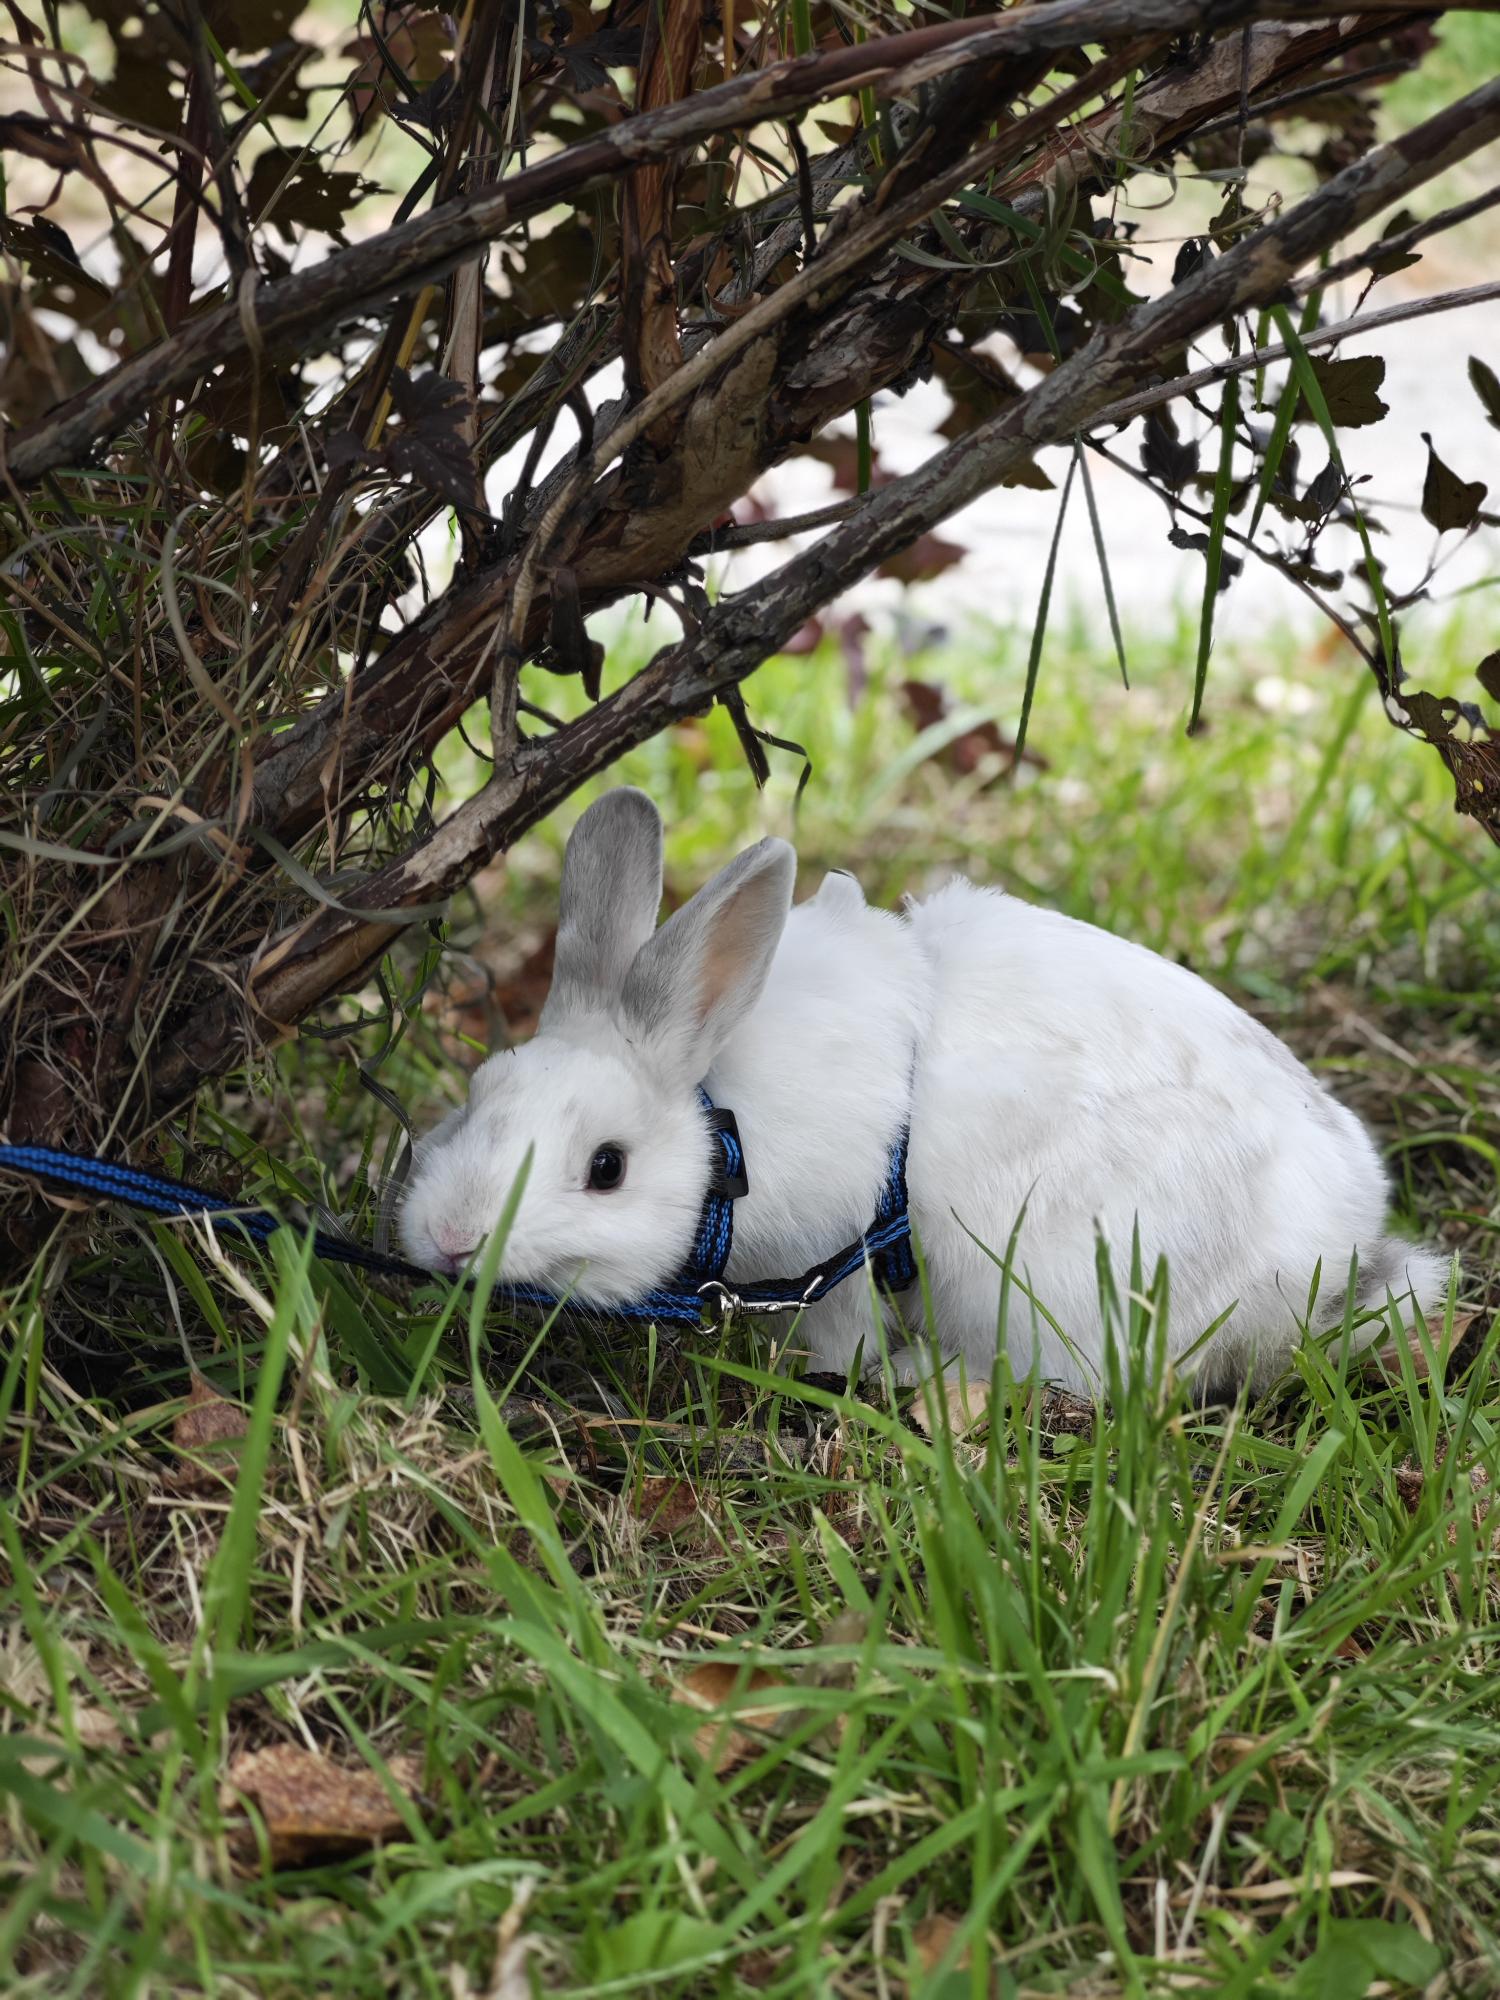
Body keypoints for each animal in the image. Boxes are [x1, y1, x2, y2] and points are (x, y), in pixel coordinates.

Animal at [396, 784, 1448, 1392]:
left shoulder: (837, 1254)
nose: (448, 1239)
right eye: (475, 1097)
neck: (720, 1124)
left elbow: (842, 1334)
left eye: (605, 1168)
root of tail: (1335, 1258)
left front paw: (834, 1371)